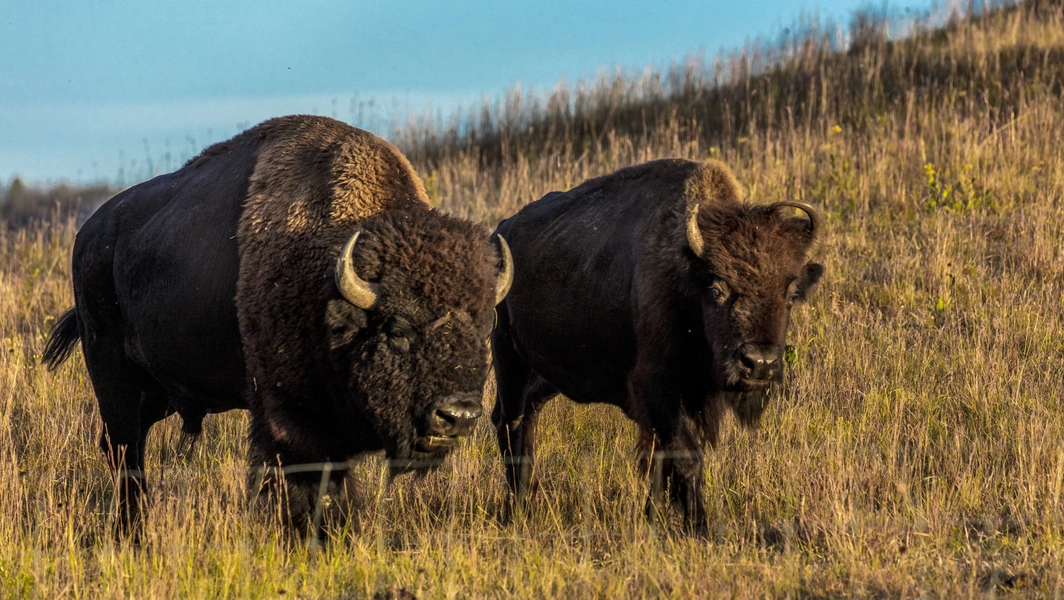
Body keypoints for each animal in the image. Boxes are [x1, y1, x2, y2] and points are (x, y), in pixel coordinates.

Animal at [43, 115, 513, 532]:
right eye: (396, 330)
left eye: (482, 329)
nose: (458, 415)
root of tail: (89, 235)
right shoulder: (286, 415)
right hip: (110, 371)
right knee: (124, 450)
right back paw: (130, 532)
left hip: (158, 391)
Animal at [490, 159, 824, 530]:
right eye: (718, 288)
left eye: (791, 293)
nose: (760, 362)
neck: (686, 274)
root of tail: (500, 231)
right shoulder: (659, 391)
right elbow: (684, 457)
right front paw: (698, 527)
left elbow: (662, 462)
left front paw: (656, 518)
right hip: (508, 357)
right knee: (509, 423)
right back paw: (516, 509)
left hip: (549, 374)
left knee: (526, 416)